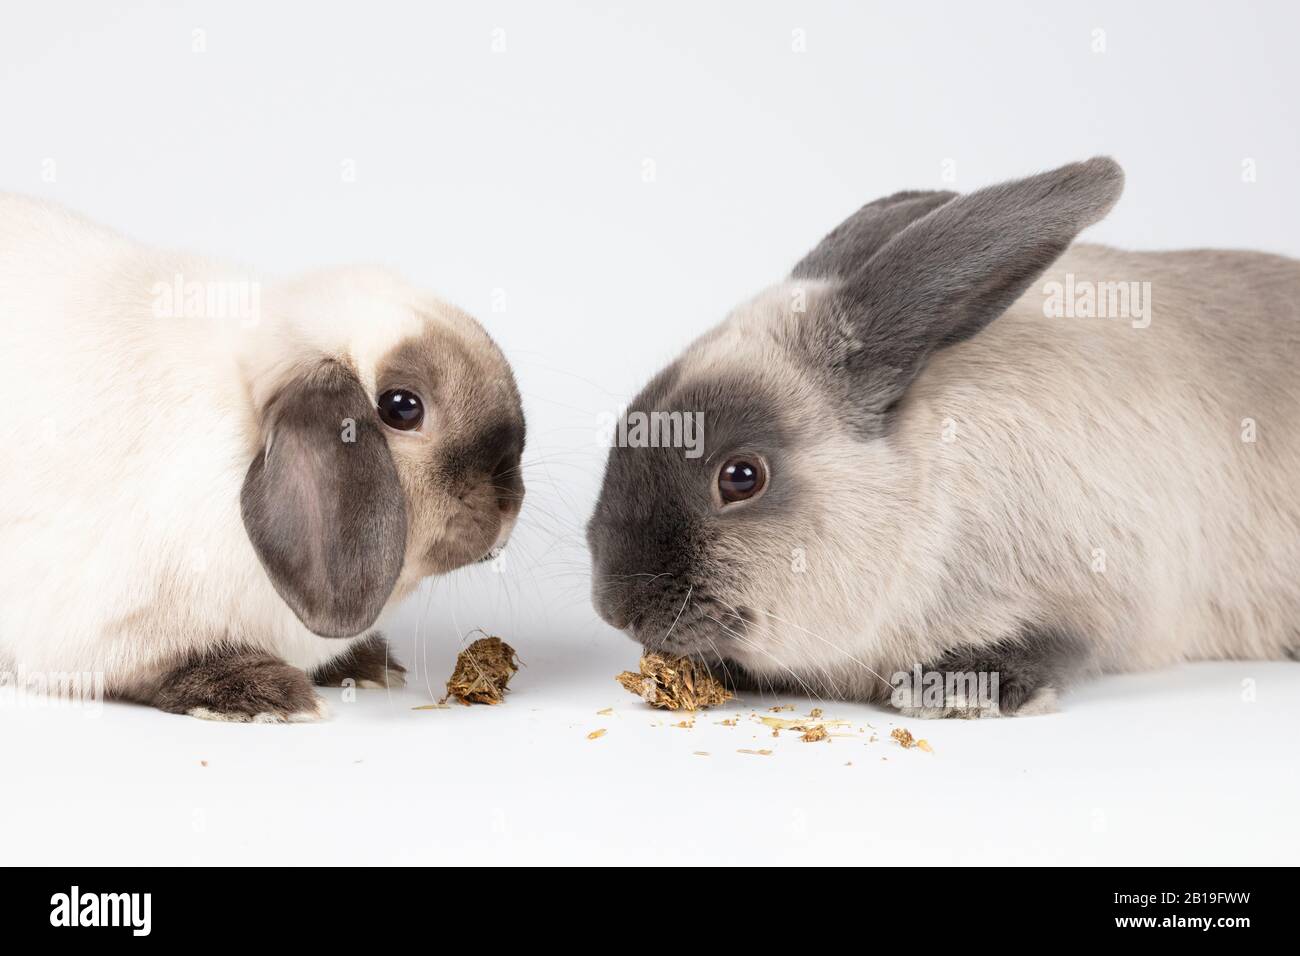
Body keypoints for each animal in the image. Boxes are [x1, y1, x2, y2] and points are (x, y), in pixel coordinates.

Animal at [587, 157, 1300, 718]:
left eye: (741, 477)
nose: (615, 609)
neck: (923, 500)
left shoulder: (1105, 592)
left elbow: (1061, 645)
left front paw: (955, 690)